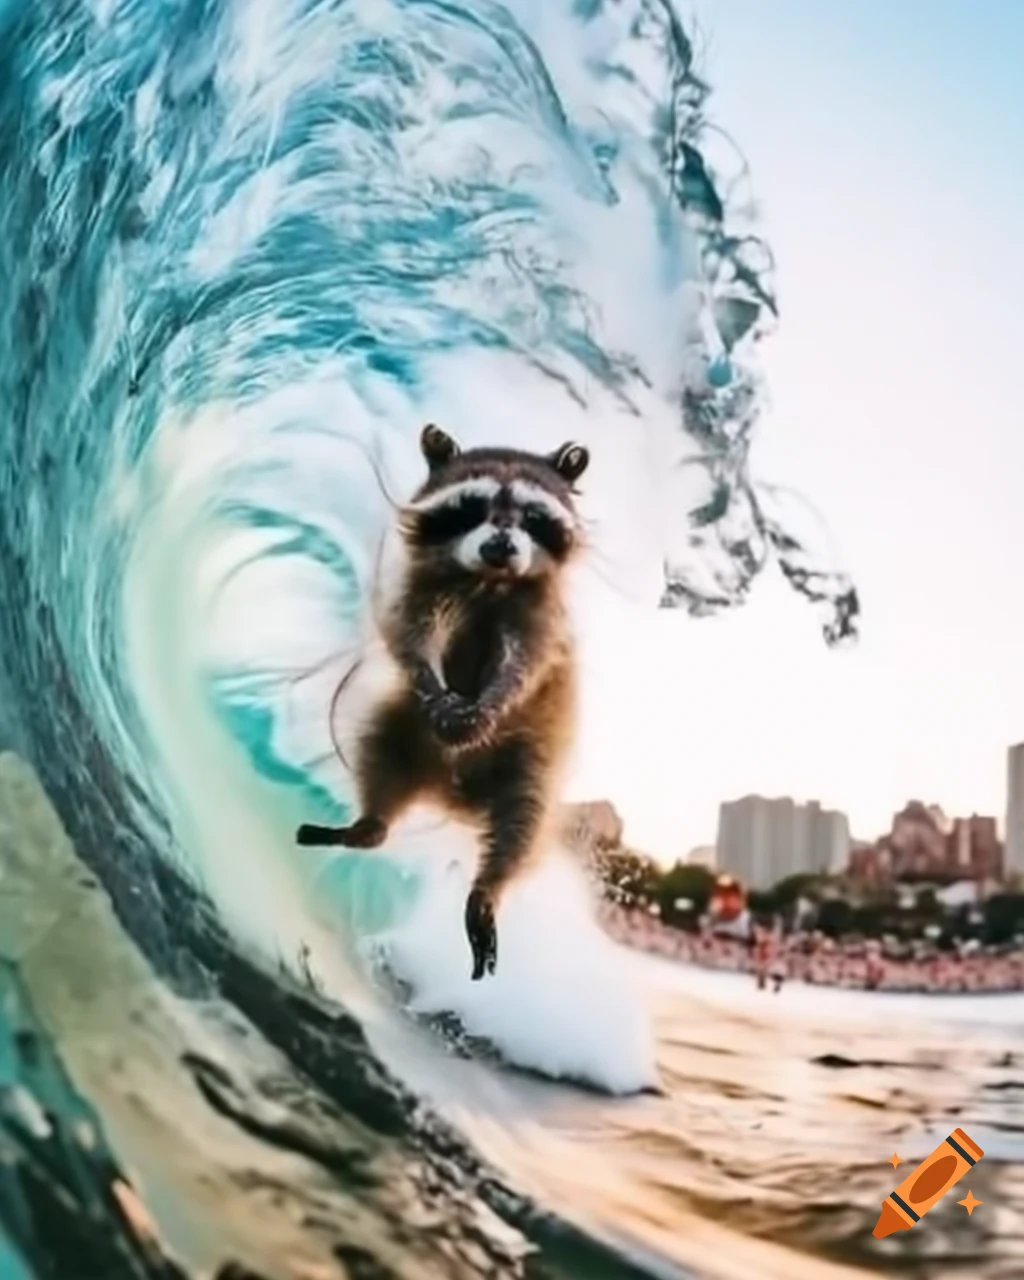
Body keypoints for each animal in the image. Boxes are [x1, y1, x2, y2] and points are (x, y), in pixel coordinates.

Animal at [297, 423, 590, 980]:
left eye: (532, 515)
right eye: (473, 506)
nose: (500, 545)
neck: (489, 582)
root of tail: (449, 794)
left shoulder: (540, 621)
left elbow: (523, 666)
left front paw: (494, 698)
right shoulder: (421, 592)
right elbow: (414, 638)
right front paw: (433, 685)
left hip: (530, 756)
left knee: (523, 820)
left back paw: (488, 887)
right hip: (403, 730)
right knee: (380, 753)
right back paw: (365, 826)